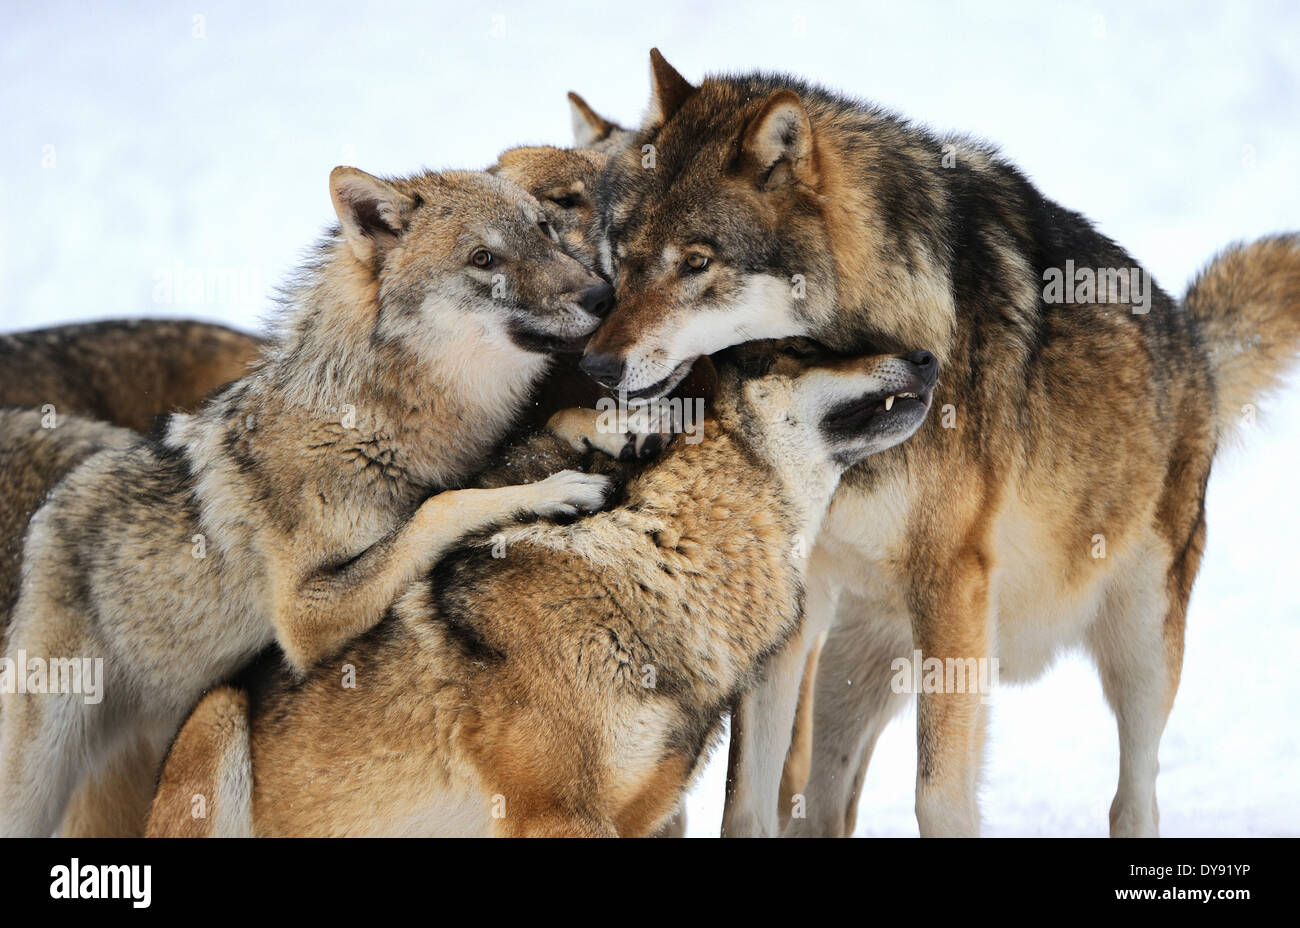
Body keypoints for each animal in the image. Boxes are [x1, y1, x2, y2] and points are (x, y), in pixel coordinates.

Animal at [143, 340, 938, 837]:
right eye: (804, 346)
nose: (930, 355)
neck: (658, 548)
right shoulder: (556, 814)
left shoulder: (644, 815)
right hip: (216, 719)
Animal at [584, 50, 1300, 836]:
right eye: (621, 257)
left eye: (696, 262)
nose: (597, 365)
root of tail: (1195, 345)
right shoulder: (792, 606)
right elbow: (745, 803)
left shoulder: (955, 583)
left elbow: (939, 793)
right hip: (854, 664)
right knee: (825, 802)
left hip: (1139, 645)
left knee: (1135, 794)